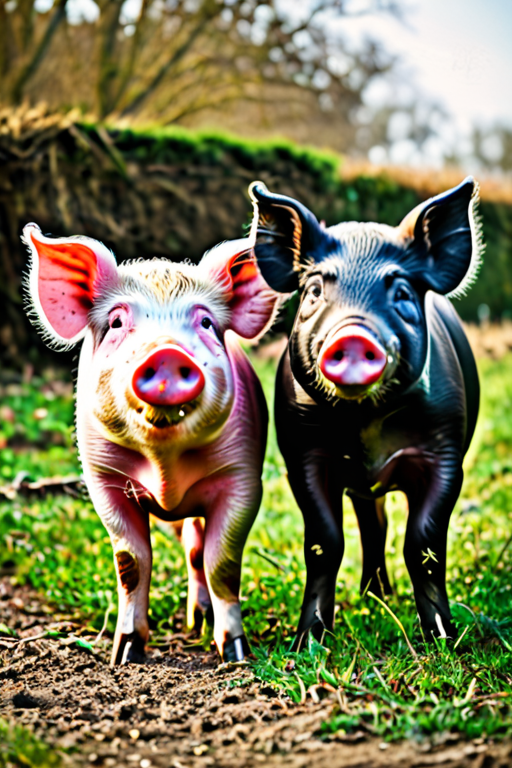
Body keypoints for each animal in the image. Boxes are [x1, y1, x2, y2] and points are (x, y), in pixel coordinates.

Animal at [23, 224, 279, 664]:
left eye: (206, 322)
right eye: (116, 321)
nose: (165, 353)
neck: (164, 467)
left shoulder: (244, 478)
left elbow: (222, 563)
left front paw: (236, 655)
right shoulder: (103, 480)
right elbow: (131, 563)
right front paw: (125, 656)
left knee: (196, 550)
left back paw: (199, 621)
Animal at [249, 178, 481, 647]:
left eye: (403, 294)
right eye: (314, 292)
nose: (353, 335)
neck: (366, 422)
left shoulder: (447, 456)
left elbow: (424, 543)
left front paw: (442, 642)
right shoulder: (302, 455)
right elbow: (324, 543)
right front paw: (308, 643)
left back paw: (381, 598)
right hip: (356, 486)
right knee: (374, 525)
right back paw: (373, 596)